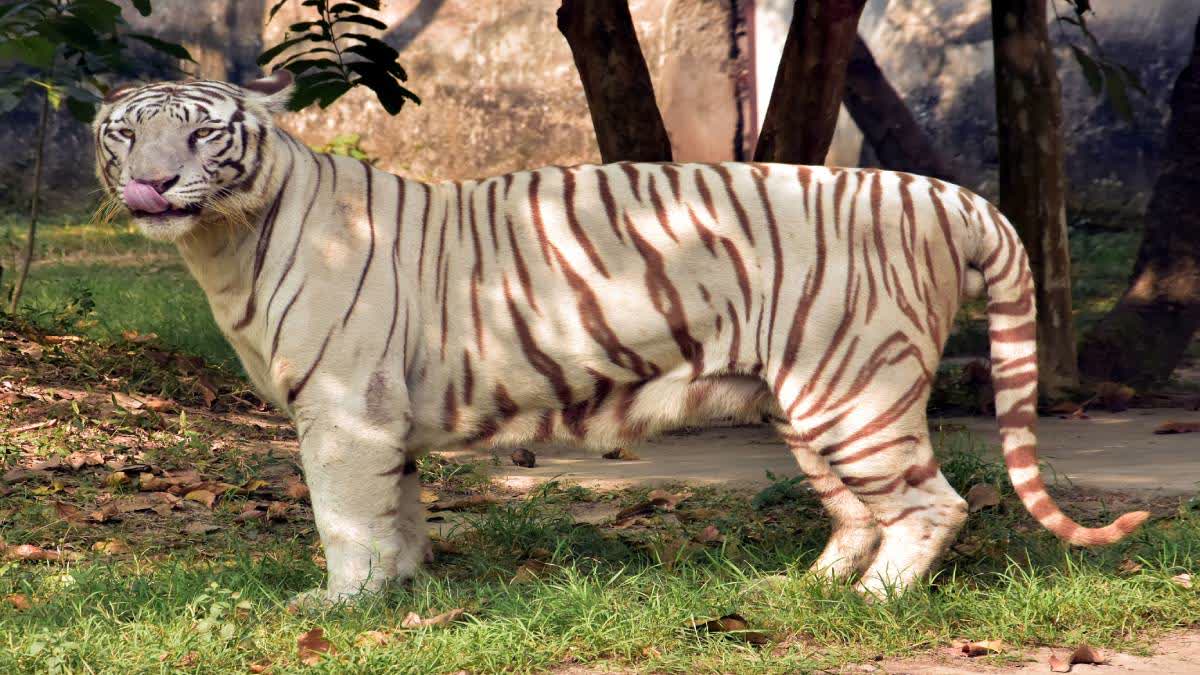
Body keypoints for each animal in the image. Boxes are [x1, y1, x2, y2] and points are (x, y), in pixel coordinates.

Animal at [92, 71, 1148, 604]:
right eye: (123, 135)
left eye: (201, 137)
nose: (149, 184)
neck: (223, 241)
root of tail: (940, 191)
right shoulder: (381, 421)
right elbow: (398, 515)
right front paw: (400, 591)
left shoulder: (344, 414)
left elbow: (343, 520)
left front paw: (339, 607)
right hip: (812, 398)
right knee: (861, 510)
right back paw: (800, 587)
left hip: (854, 390)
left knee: (933, 503)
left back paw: (870, 606)